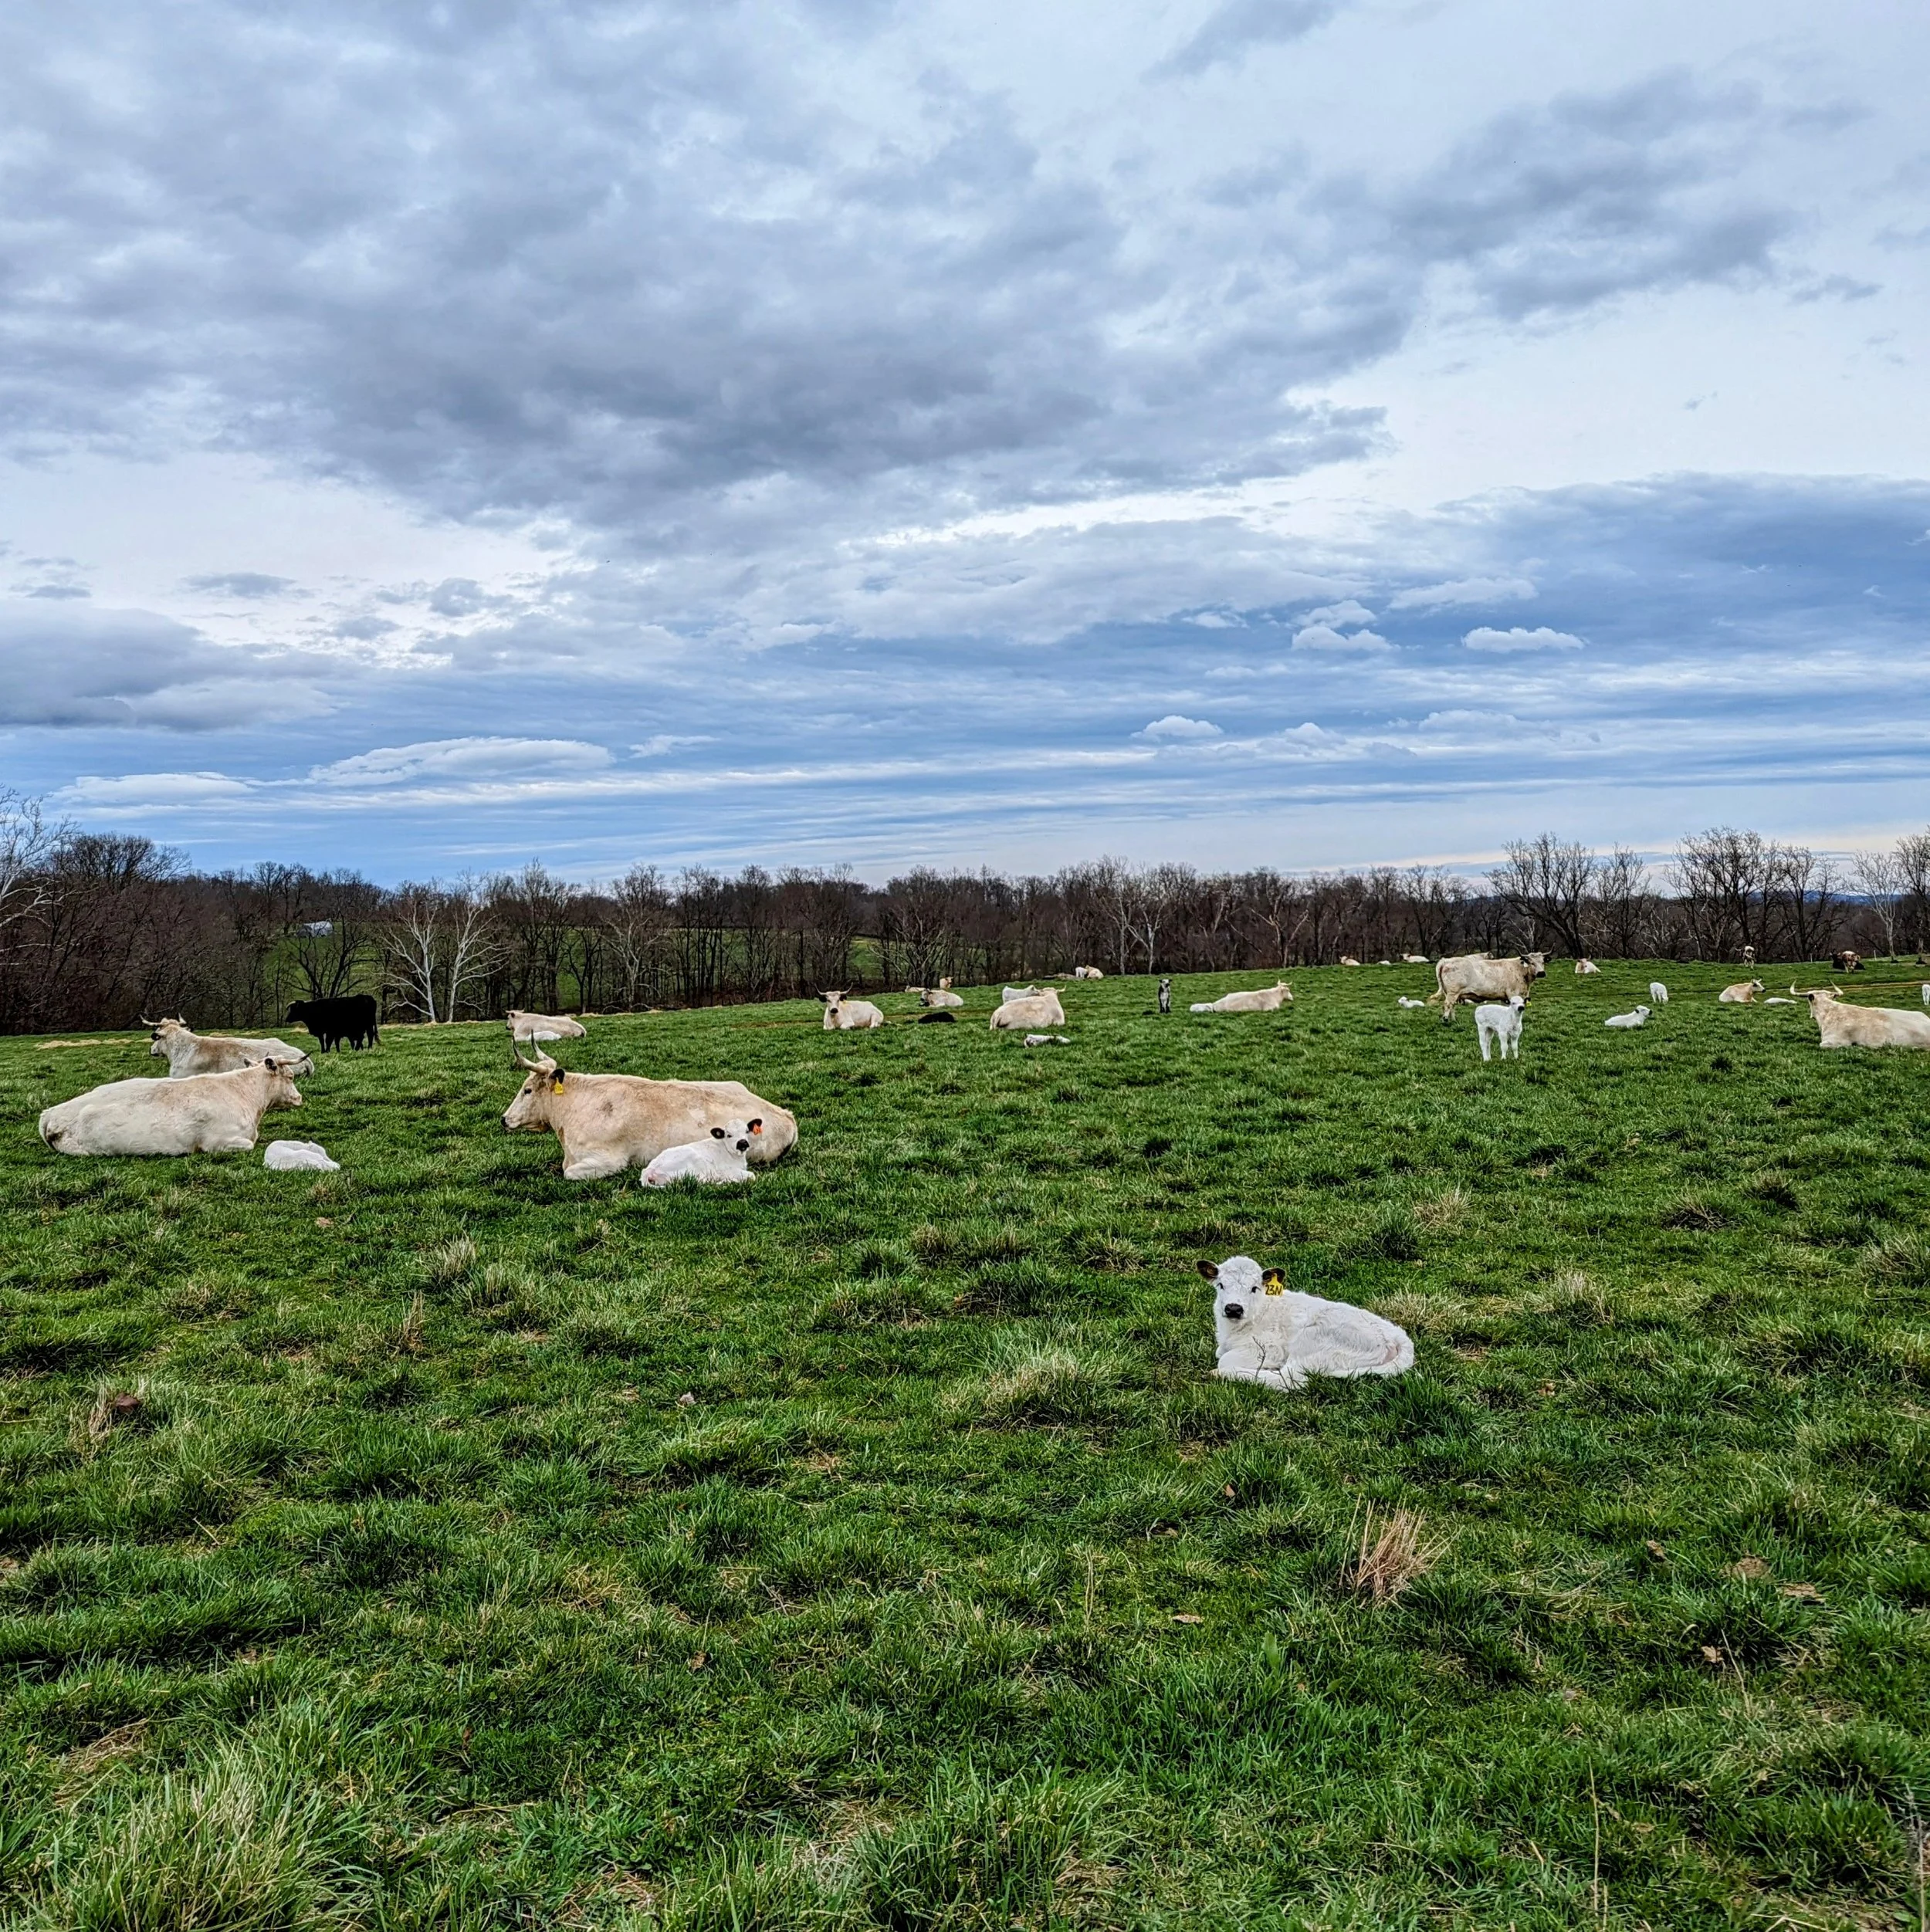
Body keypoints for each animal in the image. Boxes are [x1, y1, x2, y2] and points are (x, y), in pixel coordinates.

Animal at [1201, 1255, 1413, 1392]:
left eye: (1254, 1288)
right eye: (1221, 1285)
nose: (1233, 1308)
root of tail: (1398, 1337)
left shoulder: (1269, 1348)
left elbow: (1224, 1359)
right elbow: (1220, 1353)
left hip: (1312, 1343)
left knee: (1290, 1379)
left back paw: (1222, 1374)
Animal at [1427, 952, 1547, 1022]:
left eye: (1543, 962)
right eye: (1531, 963)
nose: (1541, 973)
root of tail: (1446, 960)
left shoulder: (1505, 997)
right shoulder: (1513, 994)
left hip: (1450, 993)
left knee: (1452, 1006)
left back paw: (1454, 1020)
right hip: (1453, 992)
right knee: (1448, 1005)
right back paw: (1446, 1019)